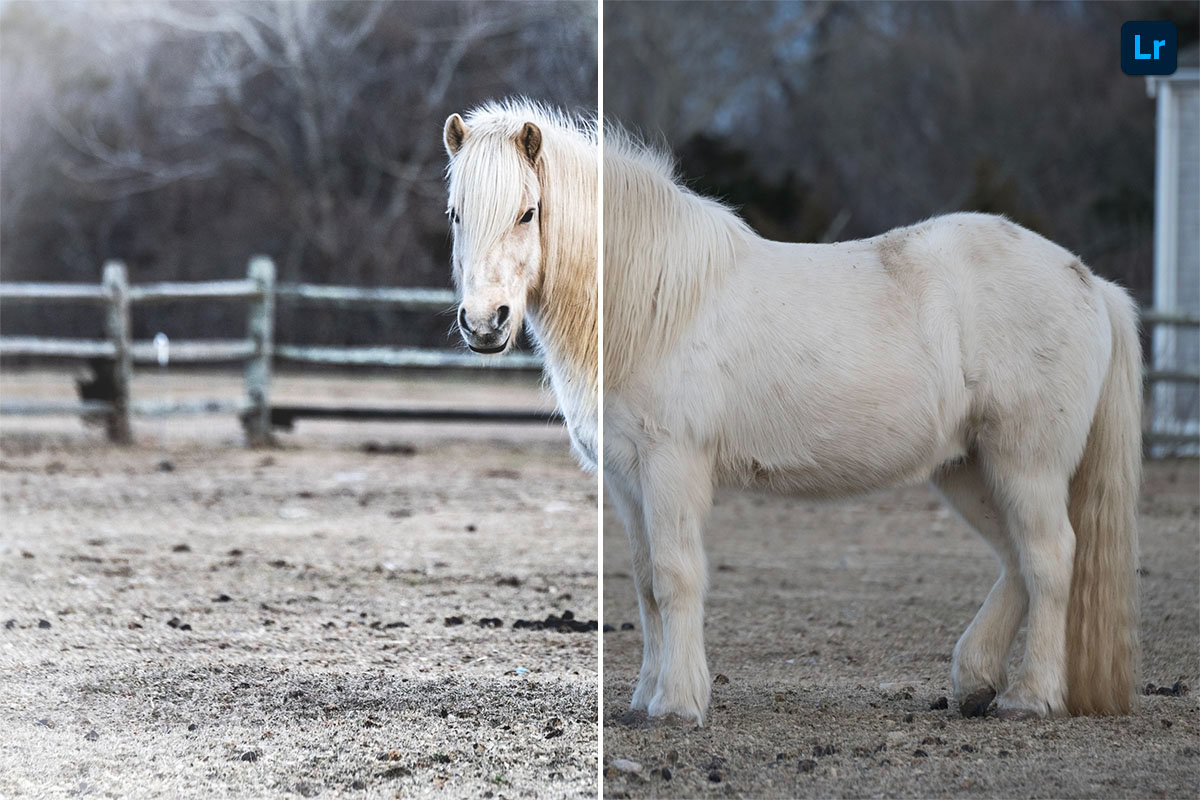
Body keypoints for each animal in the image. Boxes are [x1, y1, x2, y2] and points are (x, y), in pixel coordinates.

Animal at [603, 127, 1142, 725]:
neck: (661, 300)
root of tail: (1090, 282)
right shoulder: (627, 477)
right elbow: (646, 582)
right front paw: (645, 697)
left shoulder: (671, 464)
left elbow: (673, 576)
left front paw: (675, 704)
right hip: (970, 469)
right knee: (1015, 558)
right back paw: (977, 681)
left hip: (1028, 464)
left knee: (1049, 558)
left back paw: (1030, 696)